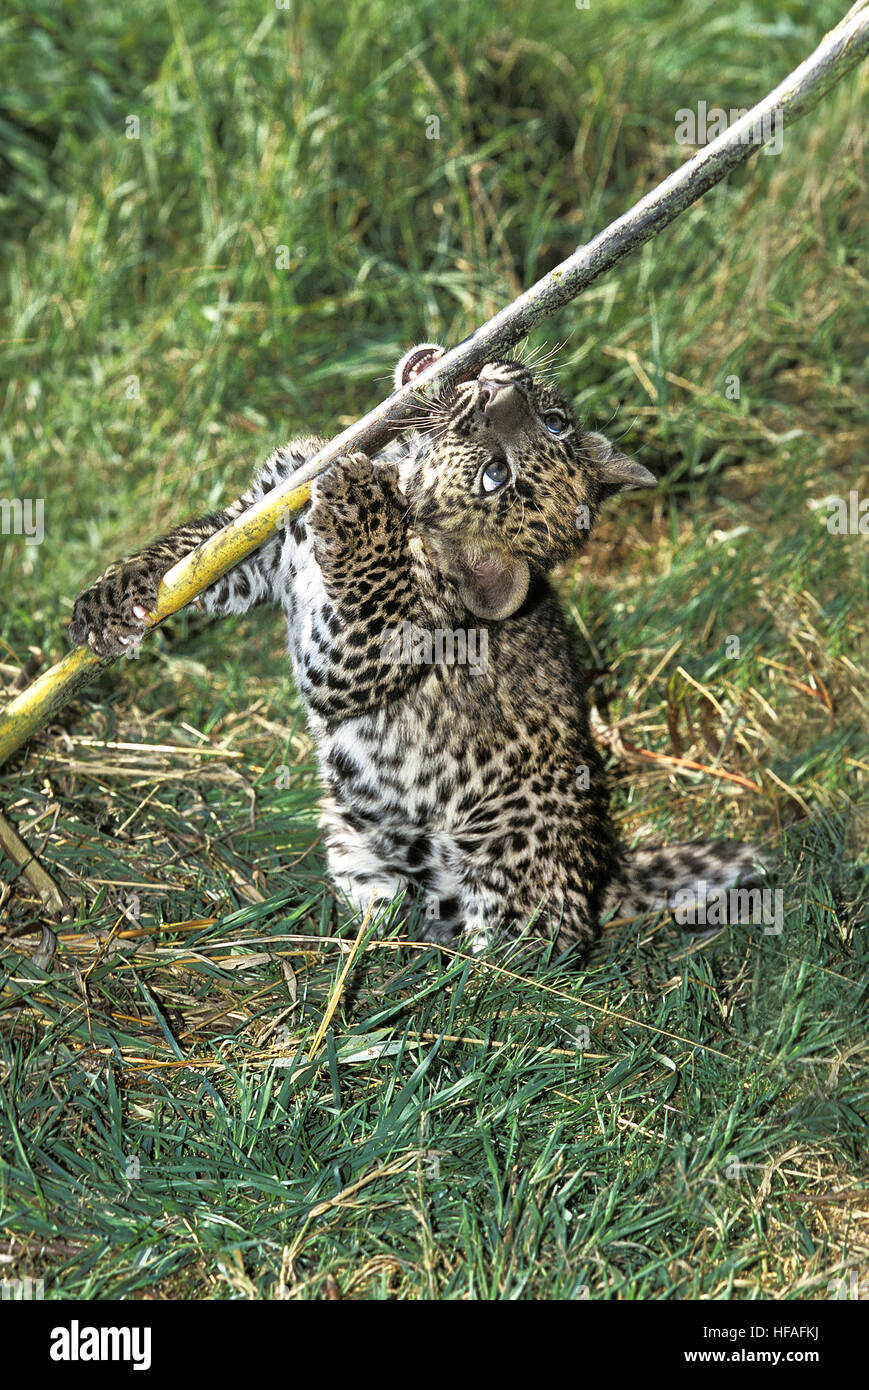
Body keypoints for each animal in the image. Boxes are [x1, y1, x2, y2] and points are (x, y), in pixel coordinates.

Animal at [69, 344, 765, 956]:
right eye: (555, 423)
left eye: (494, 477)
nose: (497, 393)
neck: (399, 460)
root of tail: (607, 864)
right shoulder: (263, 535)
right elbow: (192, 555)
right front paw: (113, 599)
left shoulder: (350, 663)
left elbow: (367, 600)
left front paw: (360, 505)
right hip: (356, 844)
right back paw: (381, 954)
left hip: (514, 852)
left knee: (531, 956)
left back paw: (466, 991)